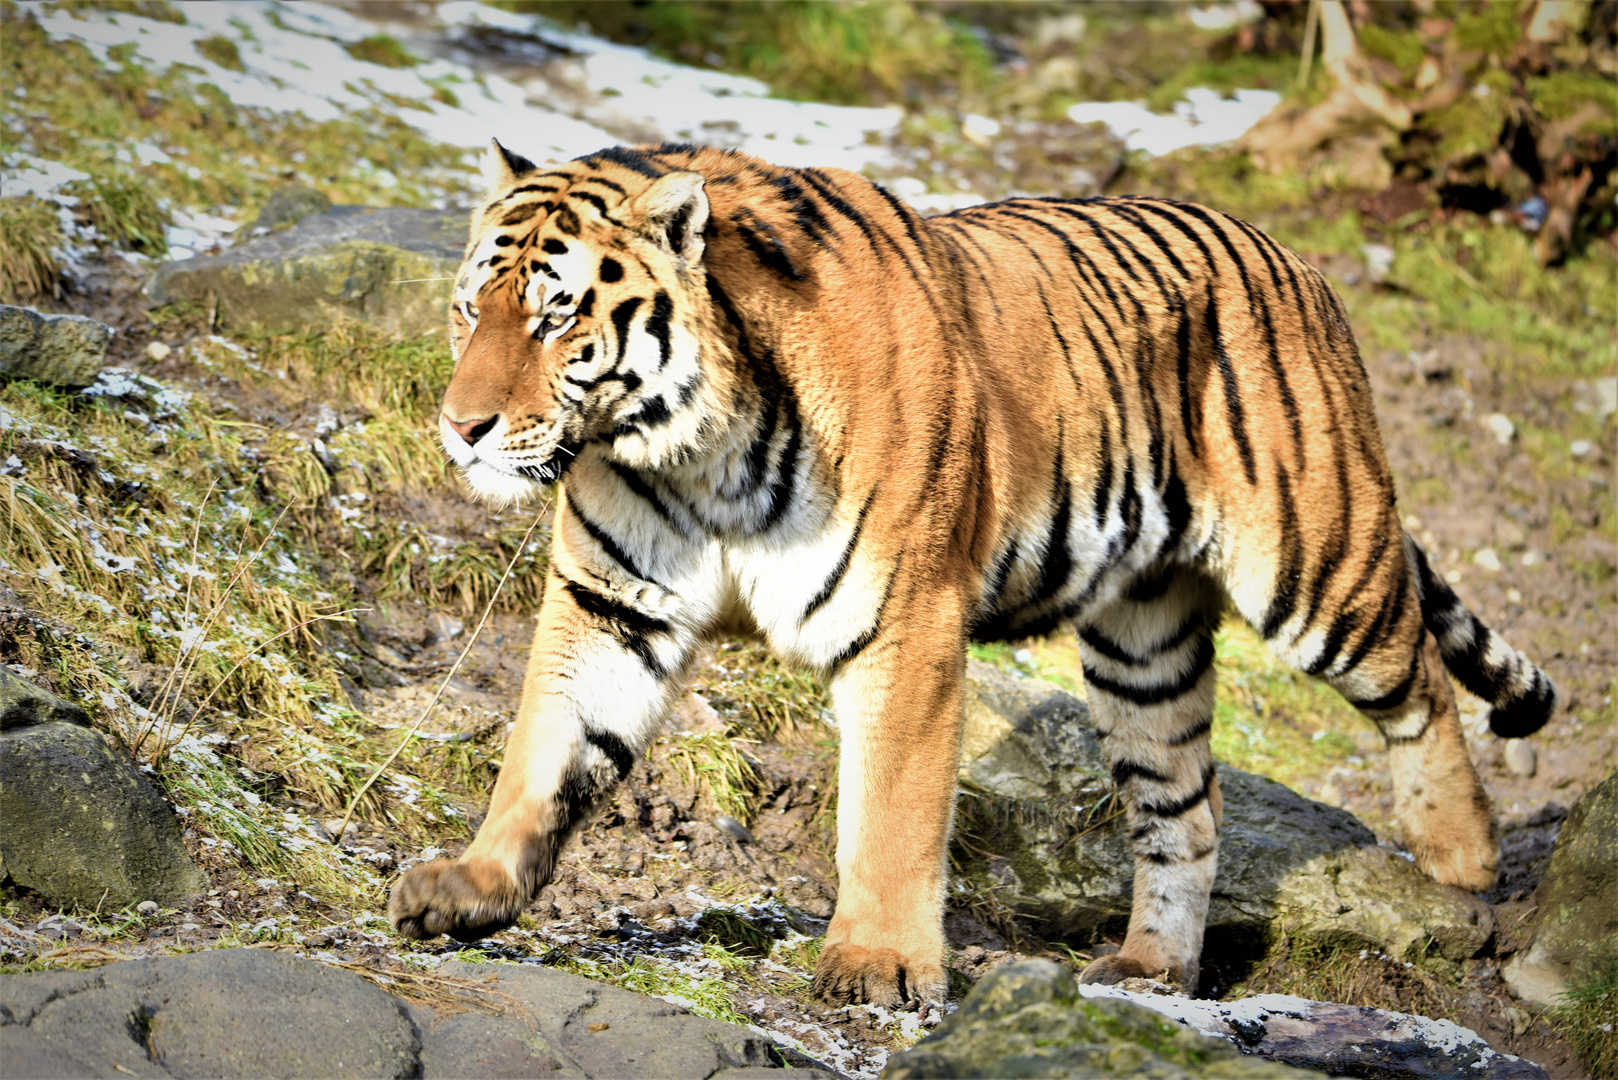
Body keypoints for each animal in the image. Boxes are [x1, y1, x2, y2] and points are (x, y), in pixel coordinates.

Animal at [388, 139, 1557, 1005]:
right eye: (469, 309)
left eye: (556, 317)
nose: (461, 429)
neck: (685, 448)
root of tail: (1293, 257)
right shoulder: (612, 605)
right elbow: (545, 750)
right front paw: (469, 887)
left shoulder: (905, 622)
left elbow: (892, 814)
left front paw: (877, 963)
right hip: (1144, 647)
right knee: (1187, 806)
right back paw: (1151, 970)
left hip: (1321, 567)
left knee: (1420, 685)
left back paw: (1462, 866)